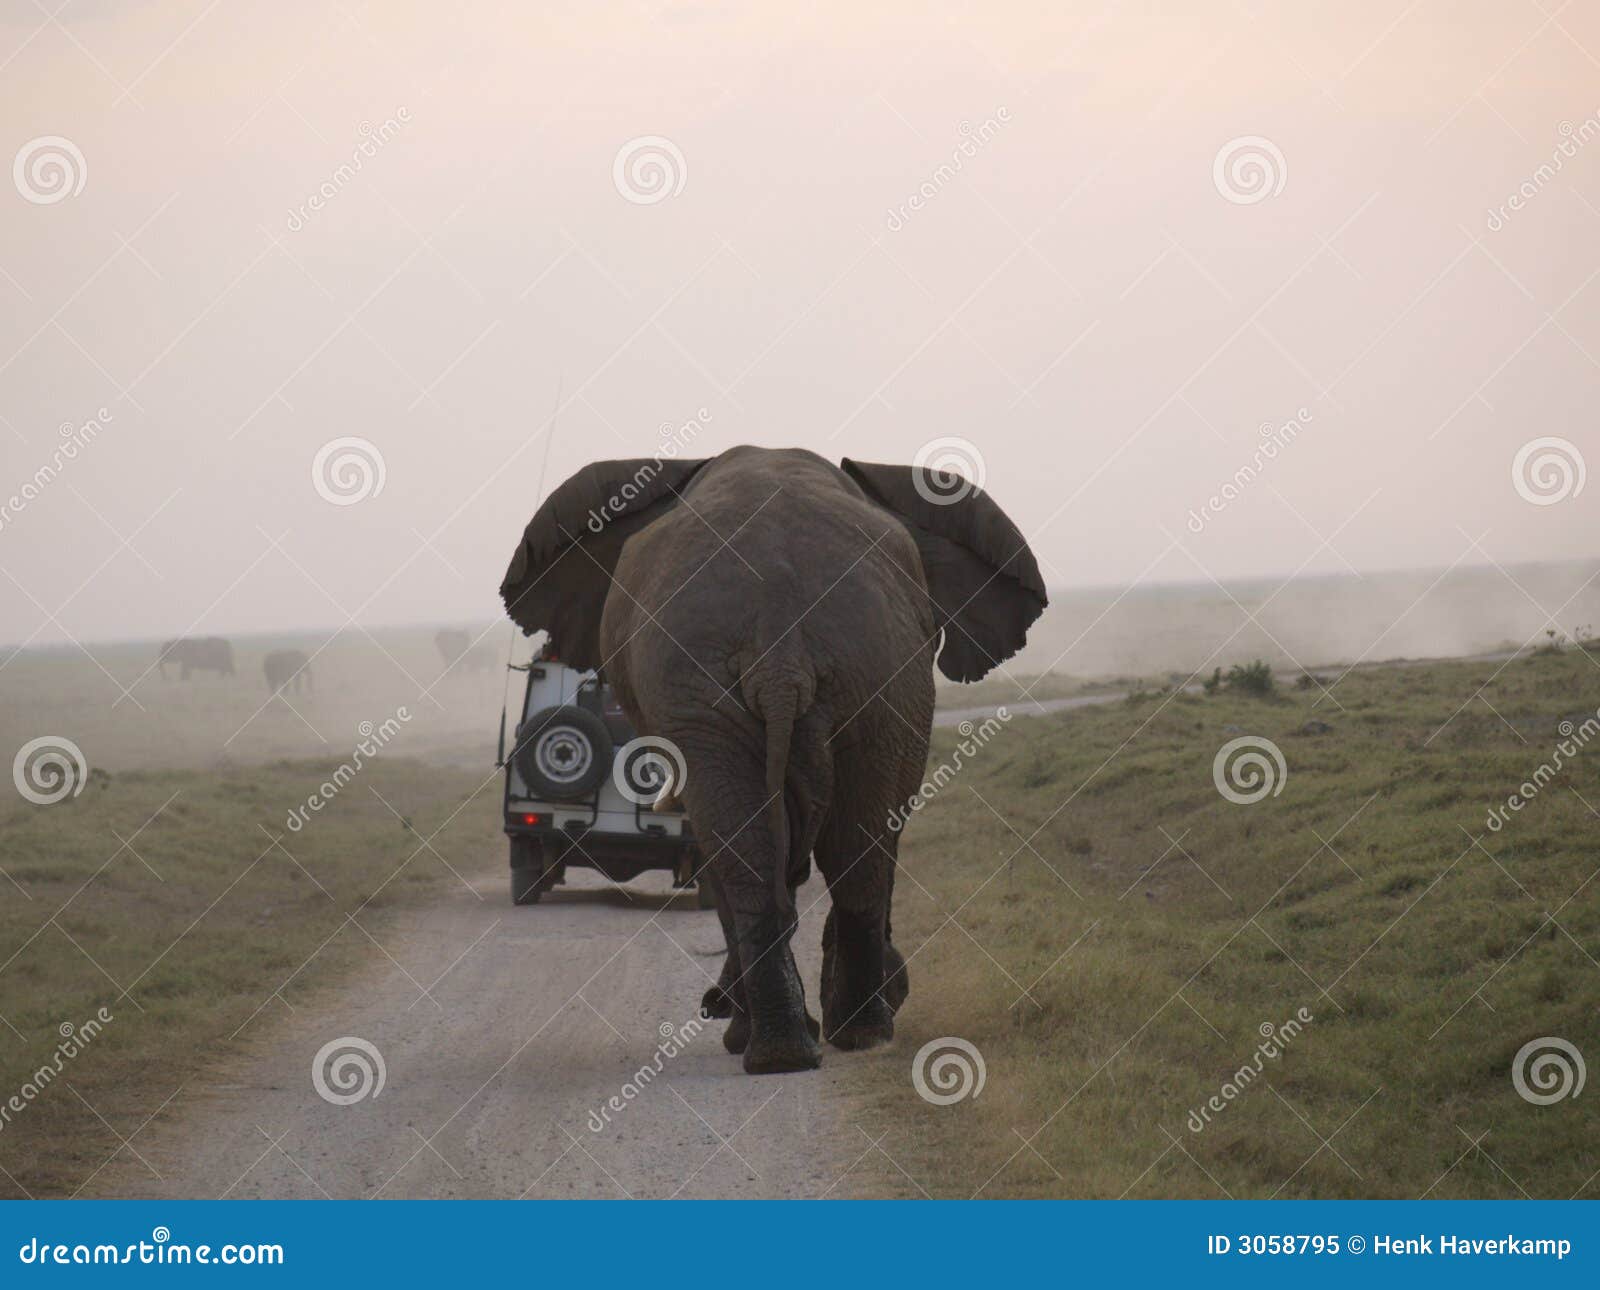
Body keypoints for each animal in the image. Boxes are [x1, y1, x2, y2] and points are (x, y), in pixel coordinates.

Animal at [500, 446, 1045, 1074]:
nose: (709, 1002)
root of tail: (777, 642)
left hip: (848, 671)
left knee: (806, 845)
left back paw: (799, 1043)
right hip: (846, 671)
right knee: (840, 845)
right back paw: (826, 1040)